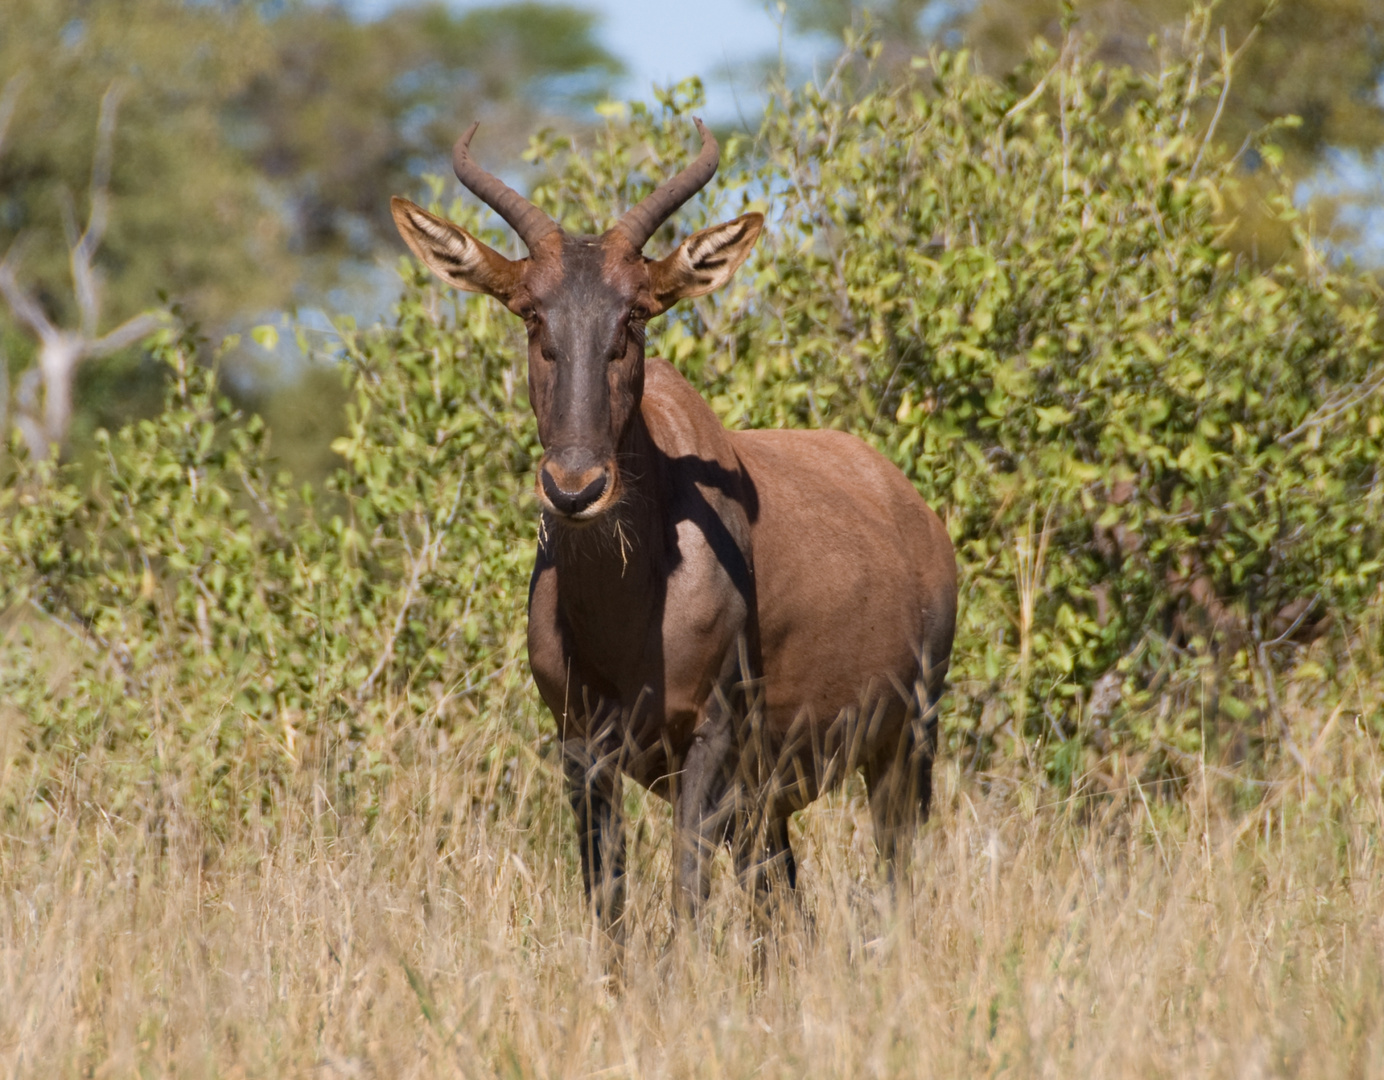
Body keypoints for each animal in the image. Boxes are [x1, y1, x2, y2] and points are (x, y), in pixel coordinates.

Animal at [391, 120, 957, 946]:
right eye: (531, 313)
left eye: (634, 315)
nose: (574, 487)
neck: (630, 611)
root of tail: (915, 511)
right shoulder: (580, 749)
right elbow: (610, 904)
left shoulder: (708, 740)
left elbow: (686, 898)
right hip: (768, 801)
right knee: (784, 906)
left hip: (903, 747)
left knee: (892, 881)